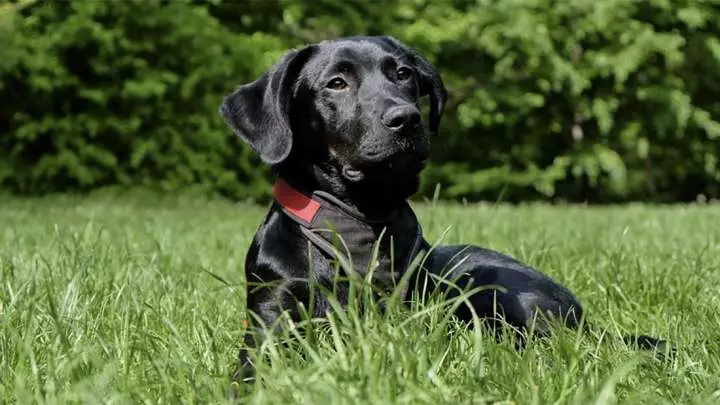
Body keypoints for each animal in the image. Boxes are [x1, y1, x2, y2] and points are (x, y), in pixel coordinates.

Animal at [221, 35, 668, 382]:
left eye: (403, 74)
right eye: (336, 83)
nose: (406, 118)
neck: (356, 224)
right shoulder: (270, 315)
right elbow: (255, 370)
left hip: (490, 284)